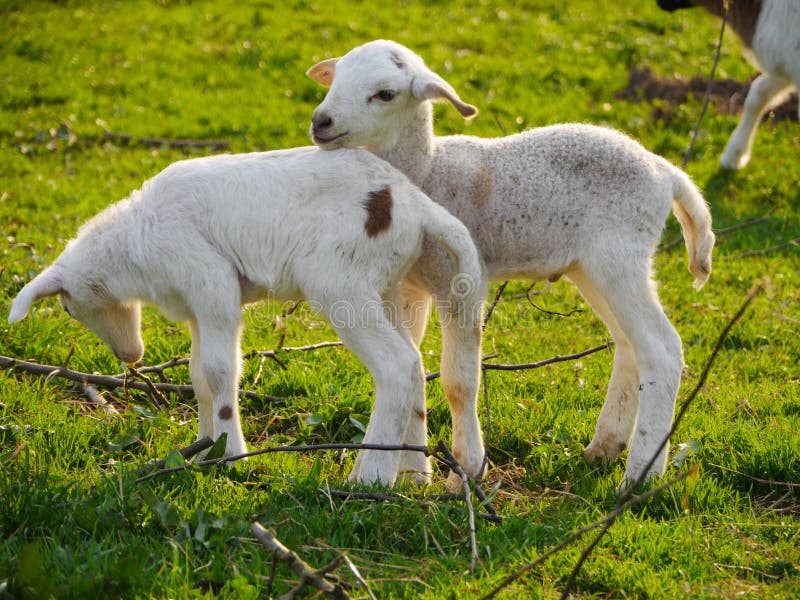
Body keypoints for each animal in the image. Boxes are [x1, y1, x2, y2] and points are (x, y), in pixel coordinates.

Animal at [8, 146, 485, 488]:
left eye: (67, 307)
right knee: (415, 361)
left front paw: (229, 454)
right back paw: (412, 472)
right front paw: (202, 450)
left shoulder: (212, 284)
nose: (130, 356)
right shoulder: (198, 305)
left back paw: (370, 478)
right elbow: (199, 375)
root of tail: (415, 204)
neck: (134, 243)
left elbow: (220, 371)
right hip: (381, 283)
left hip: (339, 282)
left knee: (397, 365)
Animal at [306, 39, 715, 488]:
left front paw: (466, 471)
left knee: (662, 348)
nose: (321, 122)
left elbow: (459, 382)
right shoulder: (407, 286)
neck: (427, 170)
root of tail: (666, 171)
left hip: (621, 256)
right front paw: (414, 474)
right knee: (629, 344)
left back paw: (641, 474)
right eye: (336, 78)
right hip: (592, 267)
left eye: (385, 94)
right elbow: (411, 365)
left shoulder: (461, 282)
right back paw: (605, 446)